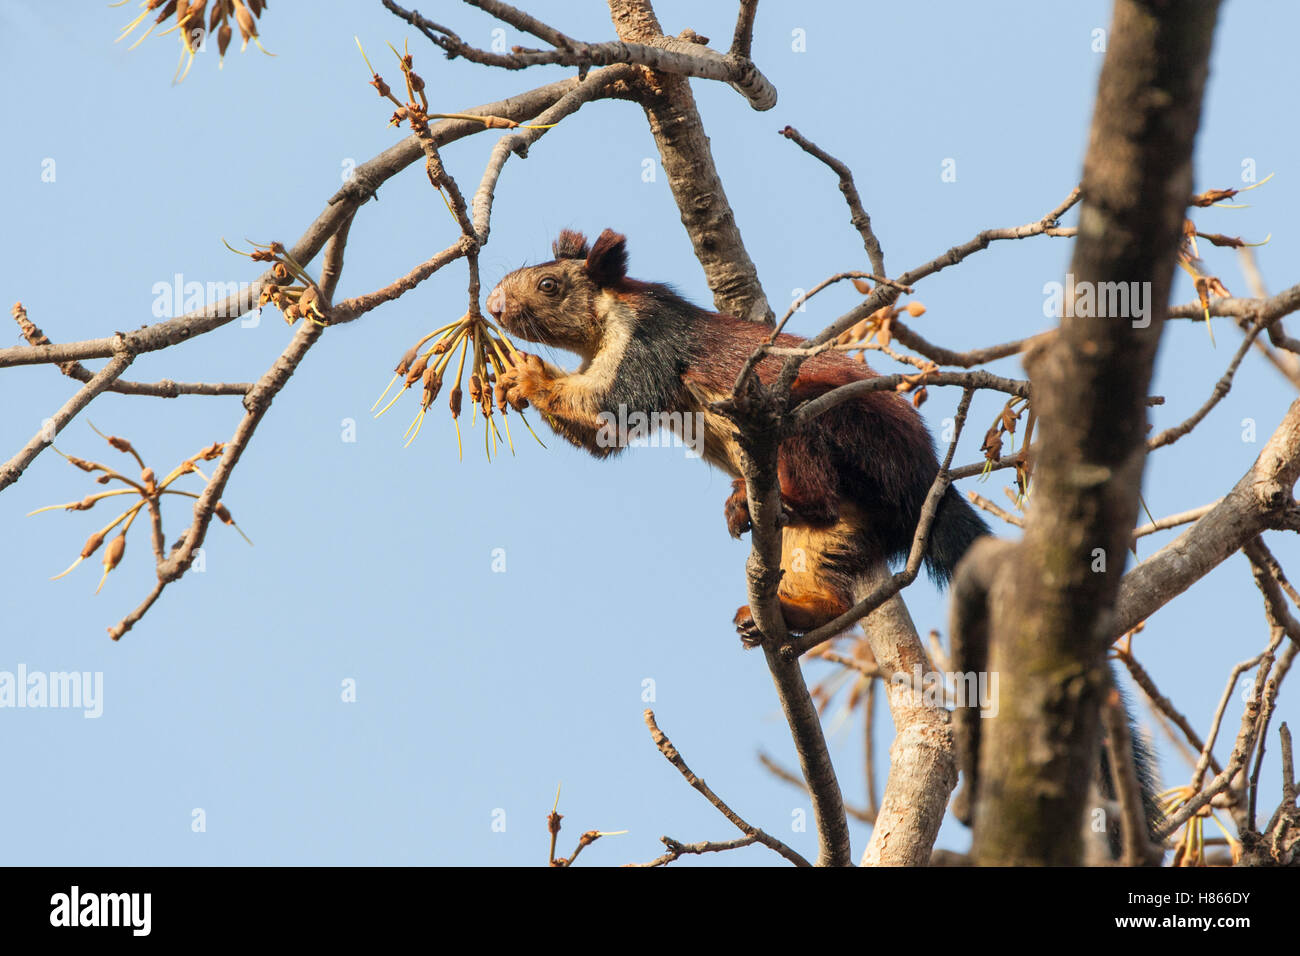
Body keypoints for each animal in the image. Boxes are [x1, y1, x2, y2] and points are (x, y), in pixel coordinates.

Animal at [487, 227, 990, 642]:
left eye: (549, 285)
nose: (493, 306)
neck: (612, 316)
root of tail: (926, 480)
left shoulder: (648, 344)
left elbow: (608, 410)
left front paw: (526, 373)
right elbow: (595, 436)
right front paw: (509, 379)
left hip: (824, 421)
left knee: (818, 493)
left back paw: (780, 504)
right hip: (848, 527)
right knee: (830, 576)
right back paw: (787, 609)